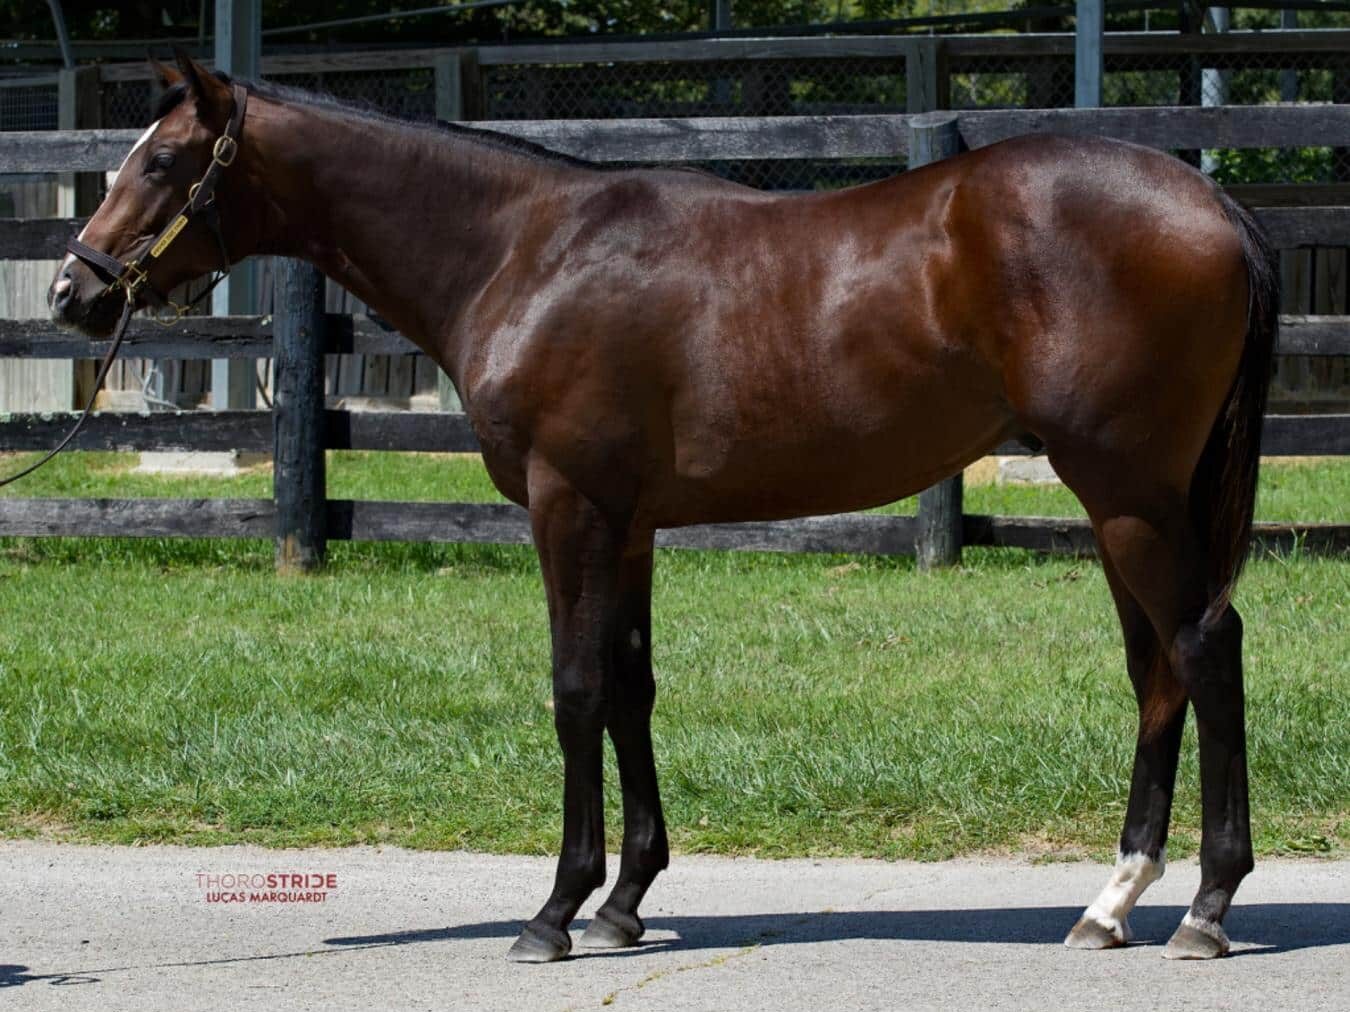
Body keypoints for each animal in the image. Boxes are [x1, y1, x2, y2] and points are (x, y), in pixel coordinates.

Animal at [50, 52, 1278, 963]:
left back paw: (1206, 909)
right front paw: (626, 900)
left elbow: (576, 690)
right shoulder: (630, 524)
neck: (525, 251)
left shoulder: (569, 508)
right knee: (1157, 668)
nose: (73, 293)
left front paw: (555, 911)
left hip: (1126, 492)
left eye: (165, 159)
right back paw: (1112, 903)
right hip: (1127, 502)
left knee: (1204, 648)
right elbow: (632, 689)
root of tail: (1213, 200)